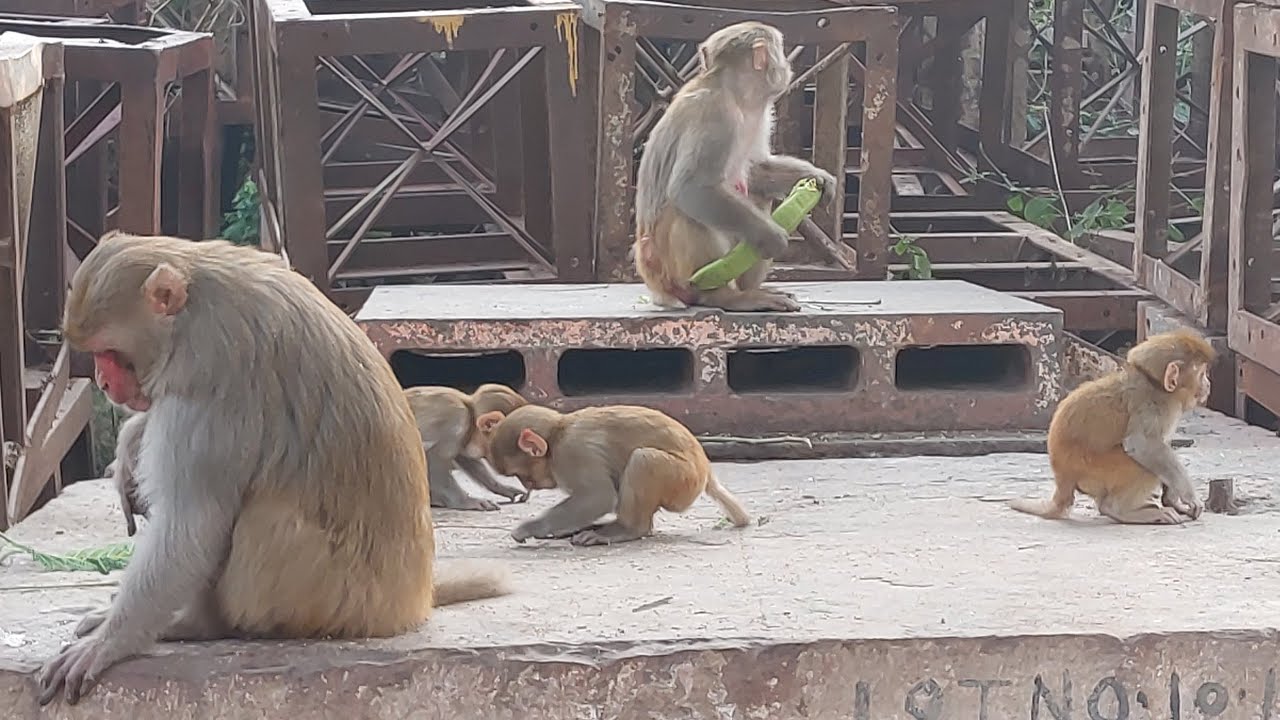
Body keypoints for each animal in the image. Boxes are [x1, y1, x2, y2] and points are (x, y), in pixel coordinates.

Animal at [38, 231, 510, 707]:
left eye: (109, 354)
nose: (102, 383)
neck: (191, 311)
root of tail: (410, 604)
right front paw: (129, 442)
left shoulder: (211, 387)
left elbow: (191, 526)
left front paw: (110, 642)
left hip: (331, 595)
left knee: (261, 517)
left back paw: (197, 623)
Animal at [474, 404, 752, 545]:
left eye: (522, 475)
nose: (530, 485)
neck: (557, 433)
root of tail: (705, 469)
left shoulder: (573, 452)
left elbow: (598, 496)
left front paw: (531, 528)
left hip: (682, 482)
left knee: (642, 460)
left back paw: (625, 529)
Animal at [632, 21, 838, 313]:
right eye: (780, 50)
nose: (786, 66)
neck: (736, 95)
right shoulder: (716, 115)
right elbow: (691, 188)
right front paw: (770, 235)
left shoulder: (761, 113)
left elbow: (757, 171)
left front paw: (816, 177)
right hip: (664, 270)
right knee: (687, 212)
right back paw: (722, 296)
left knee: (759, 196)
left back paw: (751, 290)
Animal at [1008, 329, 1216, 525]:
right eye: (1201, 374)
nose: (1208, 384)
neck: (1155, 383)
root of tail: (1062, 479)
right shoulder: (1155, 404)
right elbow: (1142, 445)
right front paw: (1189, 497)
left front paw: (1173, 500)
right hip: (1094, 470)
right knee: (1143, 465)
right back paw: (1117, 510)